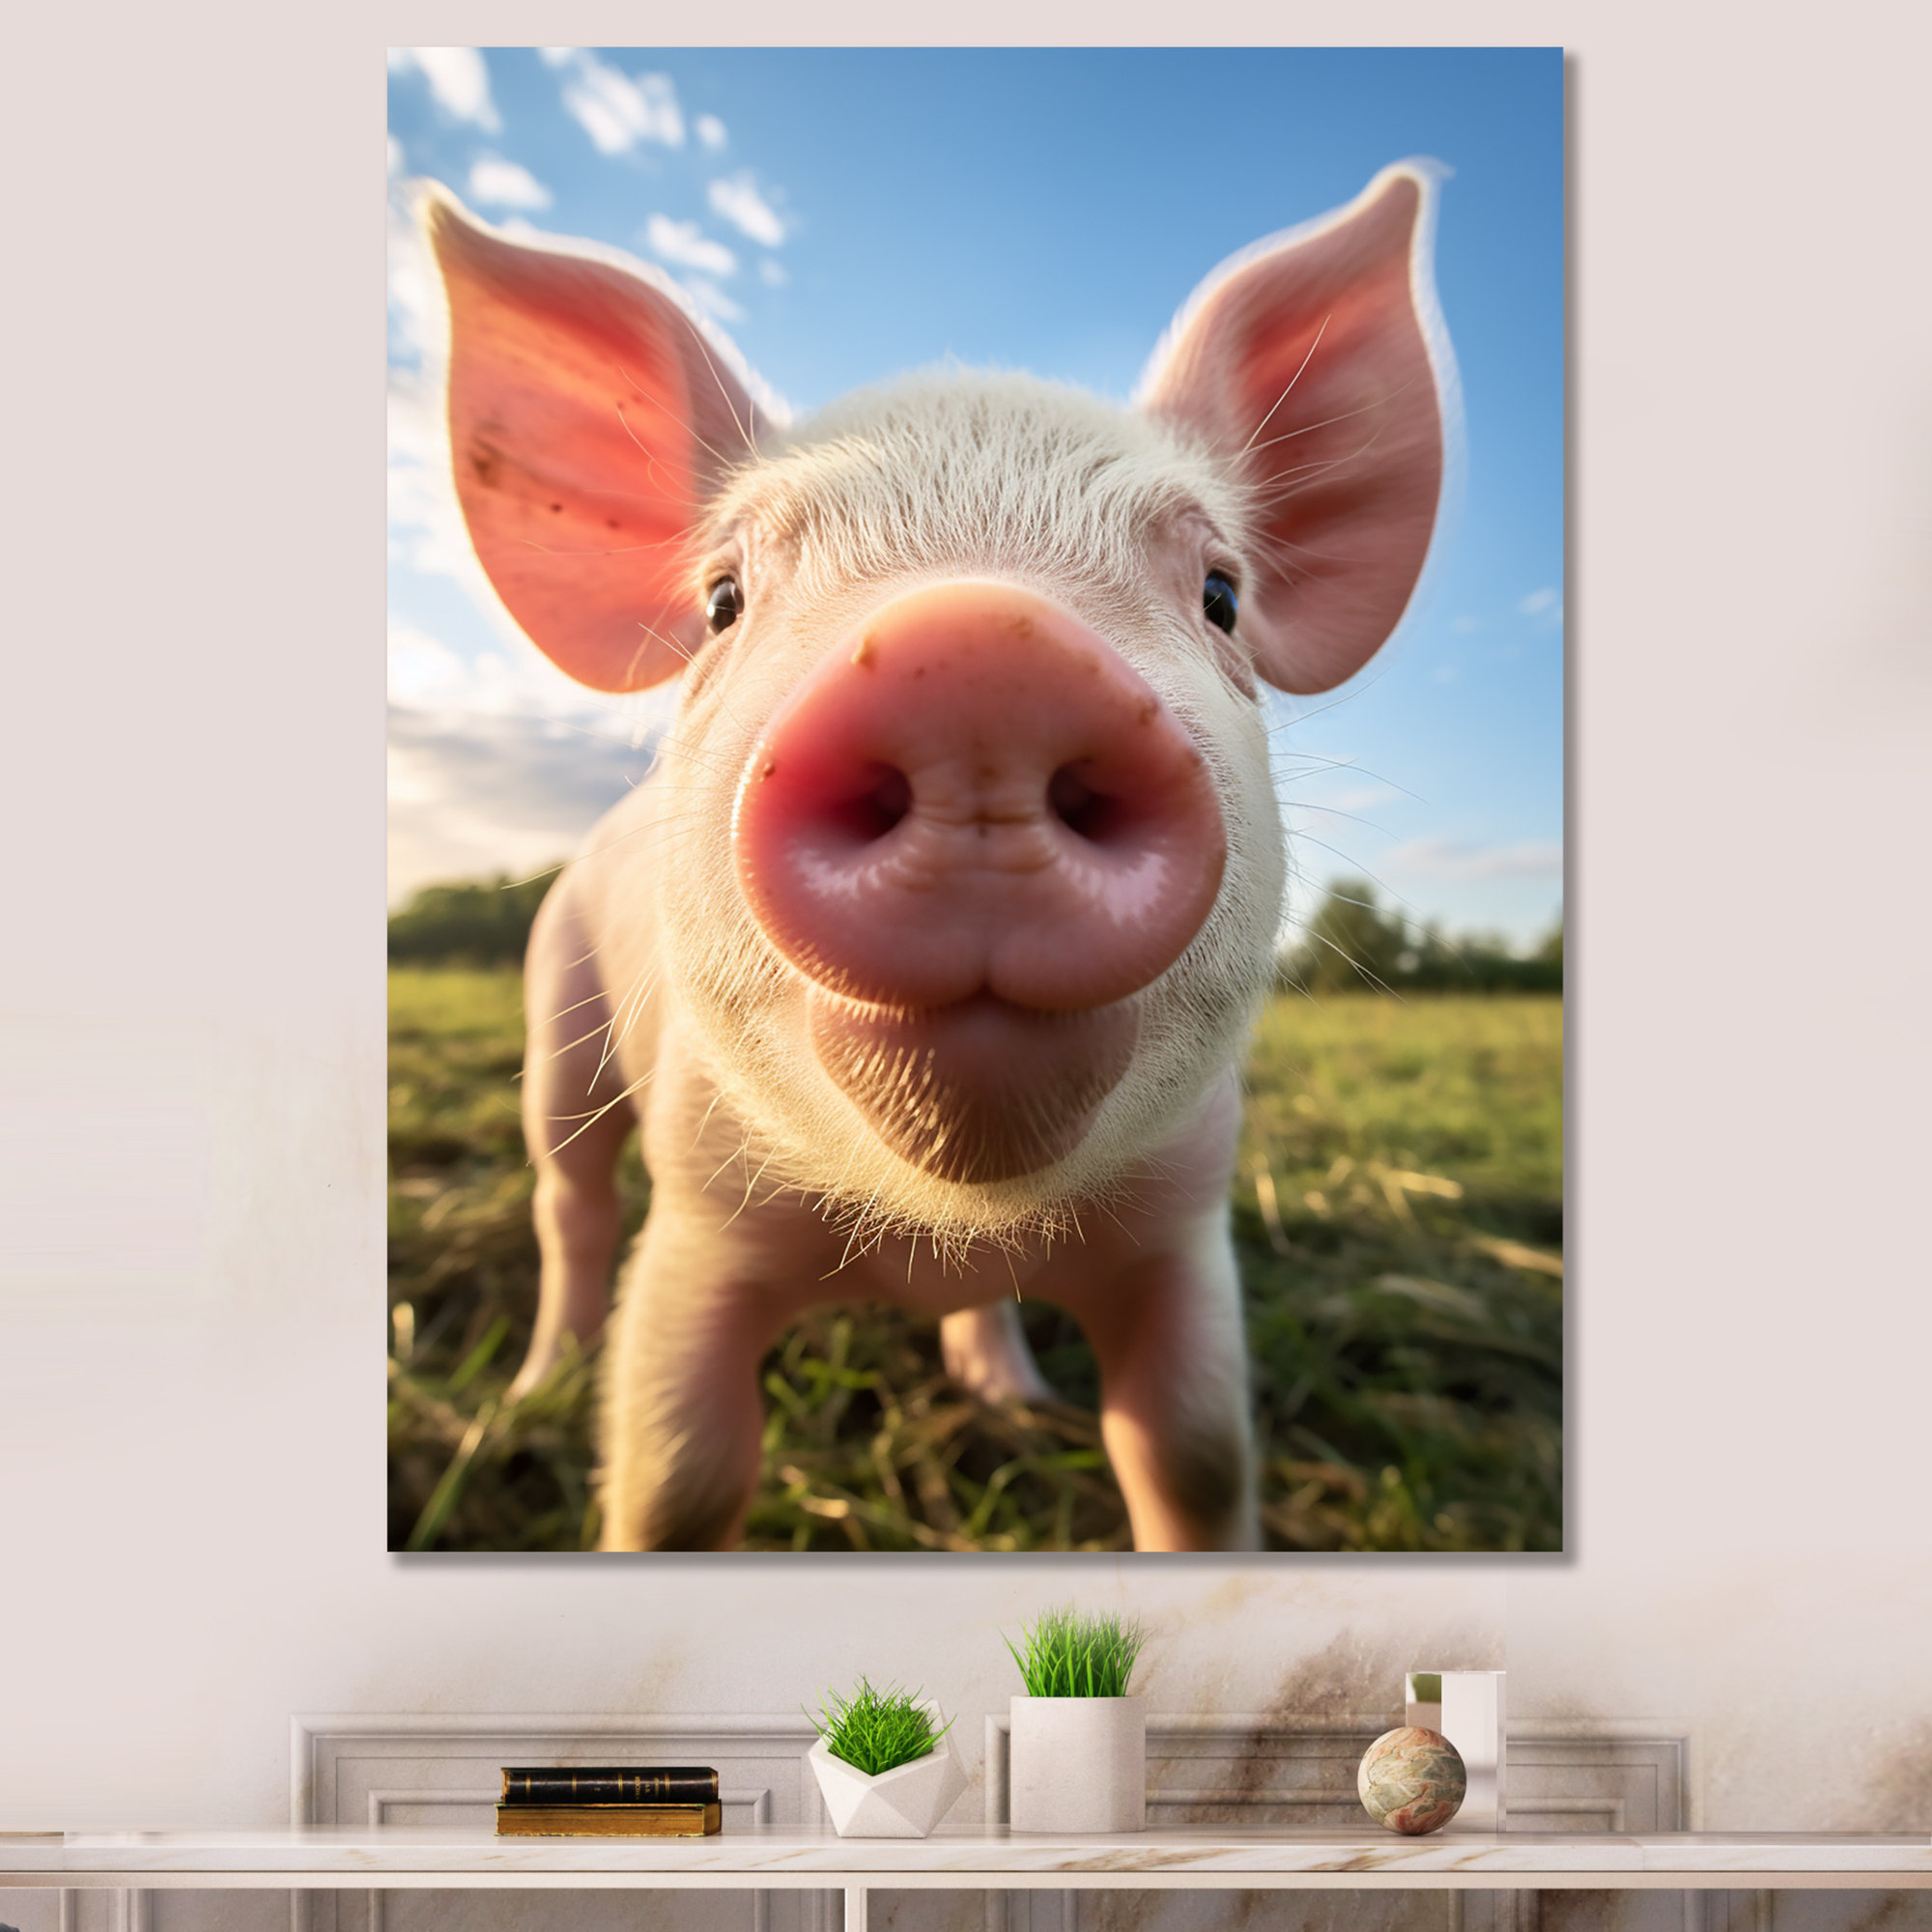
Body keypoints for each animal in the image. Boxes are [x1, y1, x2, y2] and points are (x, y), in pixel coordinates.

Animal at [420, 162, 1450, 1551]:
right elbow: (678, 1474)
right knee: (568, 1203)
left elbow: (1191, 1457)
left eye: (1222, 595)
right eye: (722, 601)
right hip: (557, 1012)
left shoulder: (1185, 1223)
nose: (977, 655)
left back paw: (1010, 1398)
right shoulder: (697, 1214)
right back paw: (536, 1385)